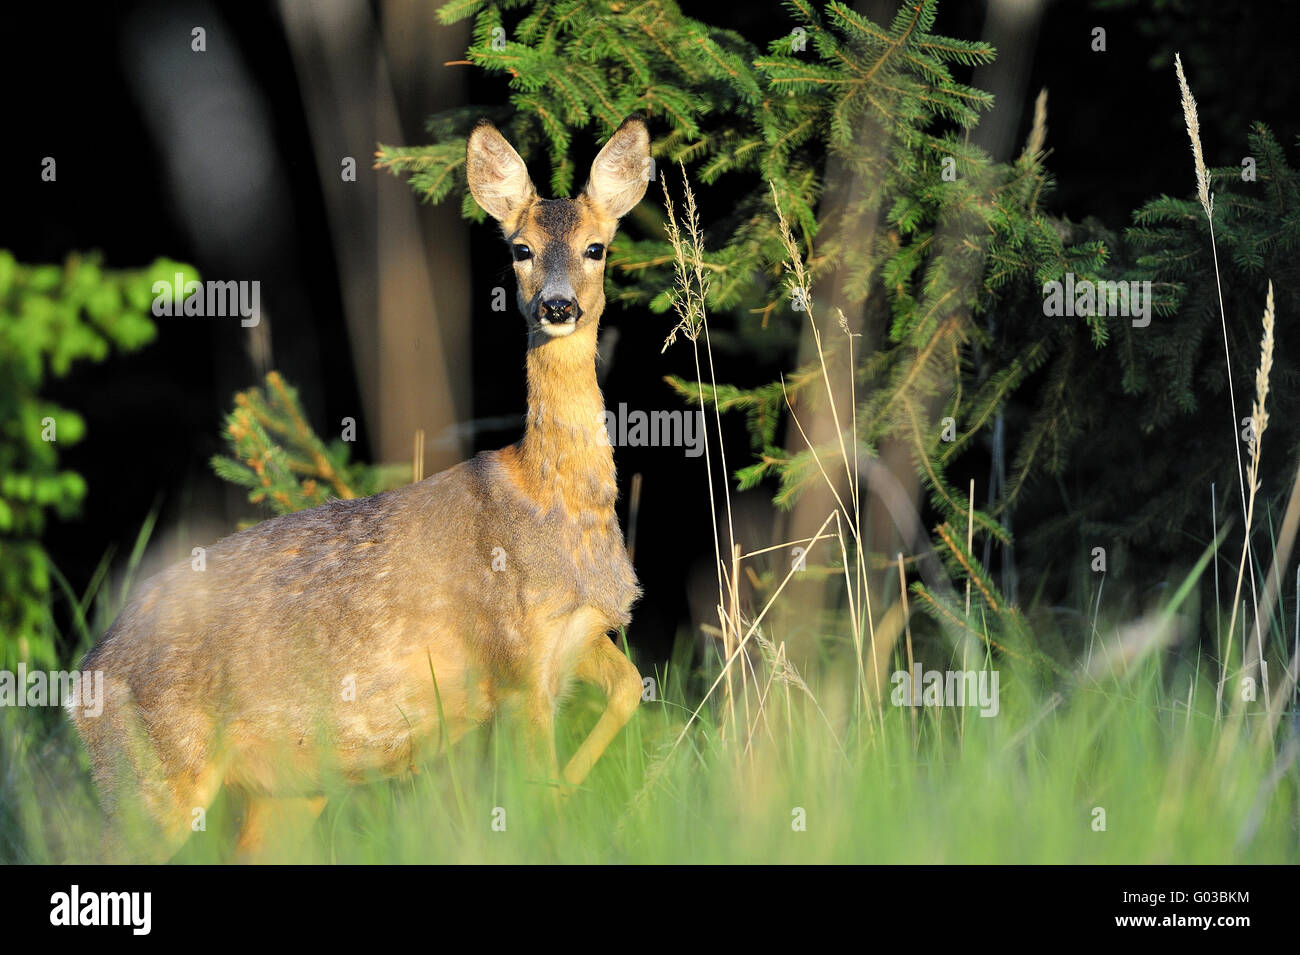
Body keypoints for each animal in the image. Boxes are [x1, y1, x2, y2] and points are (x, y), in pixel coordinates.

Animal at [67, 115, 651, 861]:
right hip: (155, 776)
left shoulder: (578, 638)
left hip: (284, 793)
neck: (554, 504)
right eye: (520, 248)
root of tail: (82, 680)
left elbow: (629, 691)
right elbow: (537, 798)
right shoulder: (515, 655)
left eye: (595, 247)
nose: (557, 305)